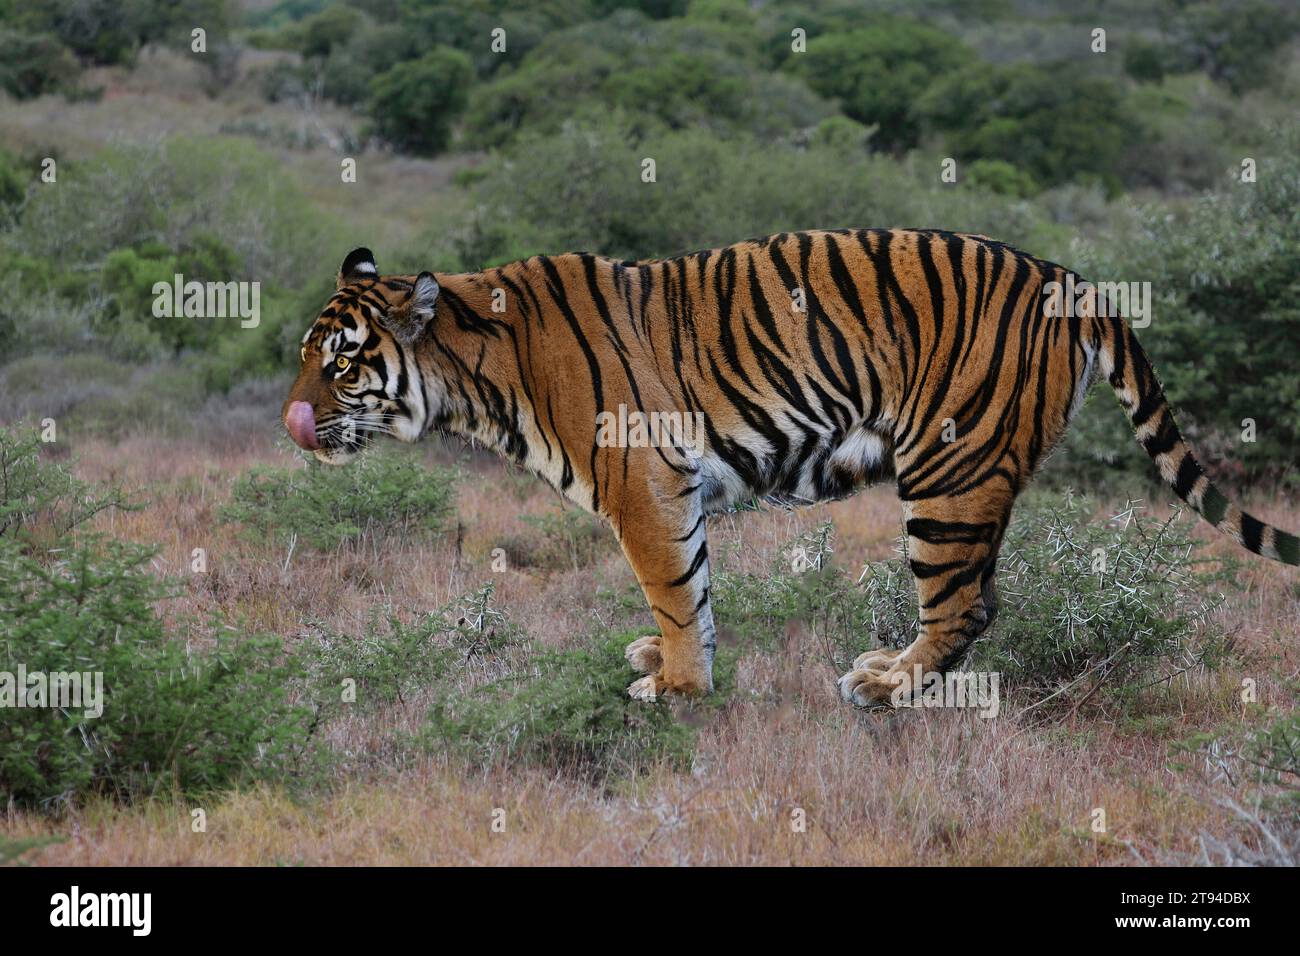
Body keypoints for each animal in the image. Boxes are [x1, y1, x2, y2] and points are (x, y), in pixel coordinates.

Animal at [282, 231, 1299, 708]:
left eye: (340, 365)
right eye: (303, 357)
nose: (291, 421)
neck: (474, 372)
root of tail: (1068, 274)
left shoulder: (642, 483)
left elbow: (674, 588)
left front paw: (675, 689)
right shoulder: (676, 487)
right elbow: (693, 590)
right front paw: (674, 664)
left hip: (948, 471)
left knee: (965, 603)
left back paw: (885, 686)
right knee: (980, 598)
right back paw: (889, 666)